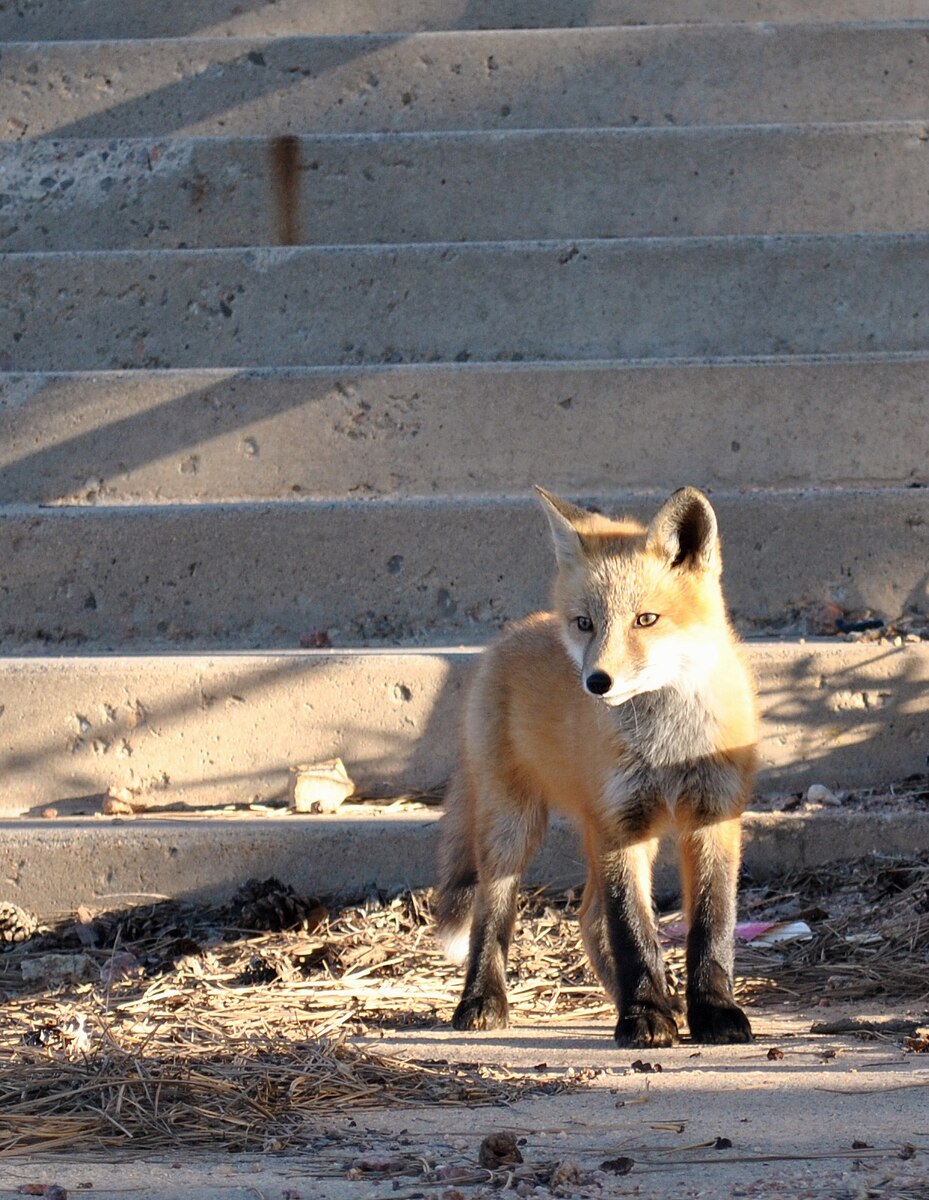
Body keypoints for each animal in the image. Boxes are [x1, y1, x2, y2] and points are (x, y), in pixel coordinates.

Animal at [434, 486, 757, 1048]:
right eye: (585, 624)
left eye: (645, 620)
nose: (597, 682)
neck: (667, 748)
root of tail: (509, 635)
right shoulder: (618, 823)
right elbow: (631, 930)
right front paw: (644, 1016)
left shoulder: (713, 816)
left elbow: (712, 925)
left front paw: (713, 1011)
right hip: (514, 826)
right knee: (492, 915)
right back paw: (482, 1000)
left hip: (615, 832)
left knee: (587, 918)